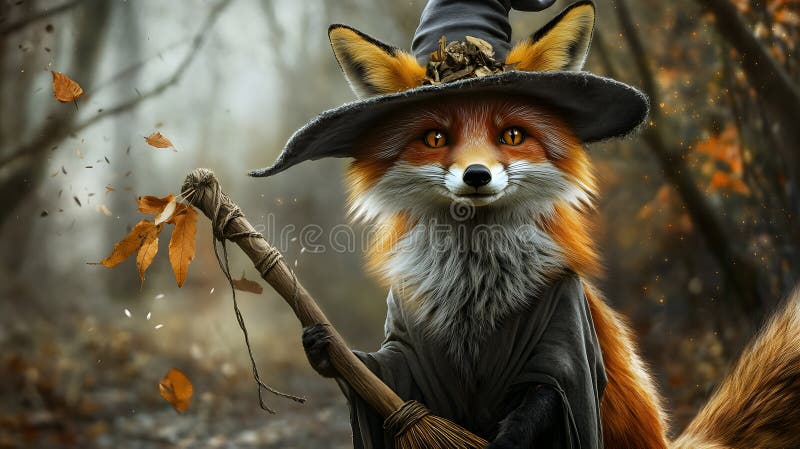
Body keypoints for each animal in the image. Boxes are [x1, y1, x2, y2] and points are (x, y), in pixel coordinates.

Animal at [300, 2, 800, 448]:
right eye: (435, 138)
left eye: (512, 135)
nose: (476, 175)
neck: (473, 286)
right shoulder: (410, 344)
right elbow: (382, 375)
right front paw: (323, 349)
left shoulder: (563, 338)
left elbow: (545, 397)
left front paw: (505, 444)